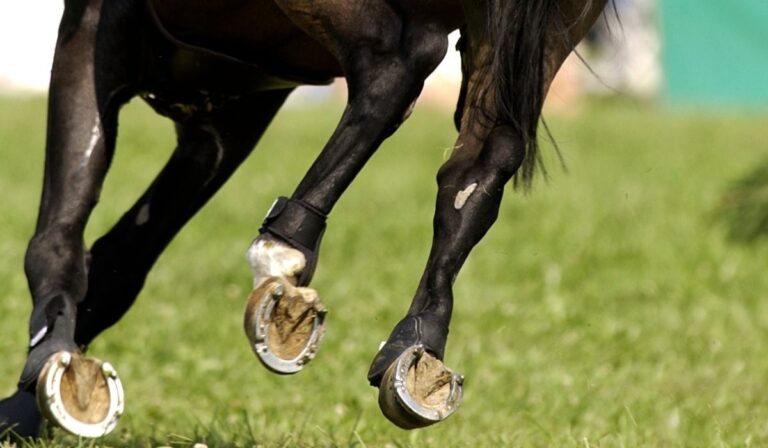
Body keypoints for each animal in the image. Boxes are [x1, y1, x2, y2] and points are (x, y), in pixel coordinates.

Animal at [0, 0, 608, 439]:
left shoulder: (95, 34)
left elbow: (58, 237)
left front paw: (50, 372)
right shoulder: (228, 121)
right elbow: (119, 259)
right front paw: (37, 400)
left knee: (398, 60)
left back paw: (286, 250)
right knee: (482, 159)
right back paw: (415, 341)